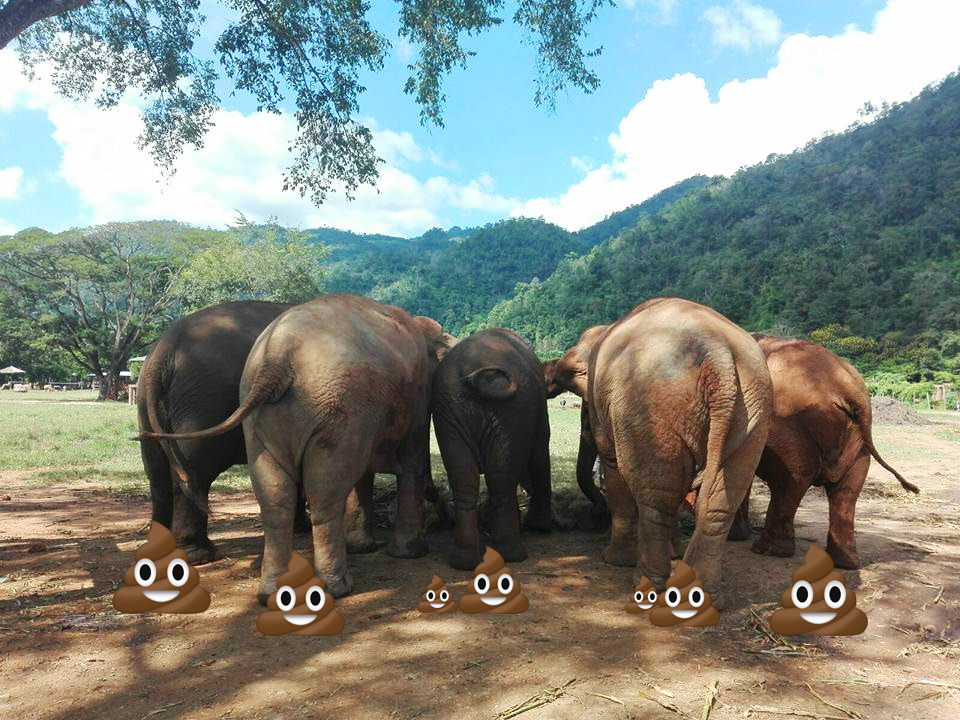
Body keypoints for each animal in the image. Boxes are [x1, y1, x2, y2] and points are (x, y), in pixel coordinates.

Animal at [140, 294, 454, 600]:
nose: (438, 500)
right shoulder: (415, 397)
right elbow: (409, 460)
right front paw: (409, 553)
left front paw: (362, 547)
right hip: (226, 405)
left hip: (252, 414)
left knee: (260, 492)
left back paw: (266, 588)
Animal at [431, 328, 552, 570]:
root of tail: (473, 375)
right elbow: (539, 452)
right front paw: (541, 527)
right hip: (513, 409)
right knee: (501, 476)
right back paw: (513, 554)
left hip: (451, 406)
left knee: (464, 474)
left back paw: (464, 561)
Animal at [545, 298, 773, 592]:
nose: (595, 514)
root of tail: (719, 357)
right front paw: (675, 554)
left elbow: (613, 465)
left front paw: (614, 561)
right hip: (752, 411)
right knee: (720, 499)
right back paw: (703, 590)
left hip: (651, 408)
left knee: (657, 495)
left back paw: (645, 582)